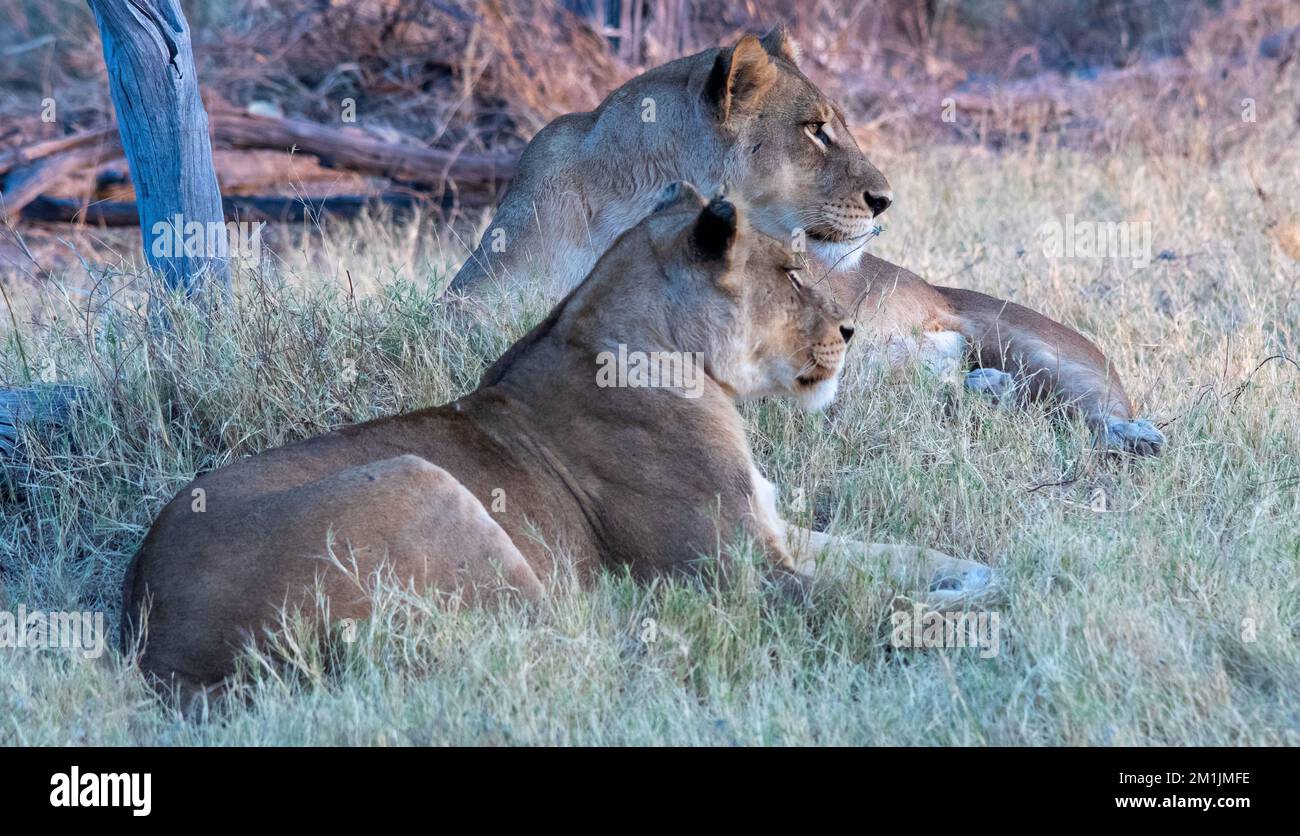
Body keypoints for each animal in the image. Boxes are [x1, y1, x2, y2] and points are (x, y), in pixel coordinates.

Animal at [122, 185, 998, 702]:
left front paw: (977, 573)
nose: (850, 331)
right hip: (423, 483)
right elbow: (859, 595)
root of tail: (146, 636)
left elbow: (890, 553)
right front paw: (969, 615)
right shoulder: (738, 571)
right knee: (571, 643)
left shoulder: (771, 534)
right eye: (789, 273)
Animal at [448, 28, 1164, 455]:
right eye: (815, 129)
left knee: (1083, 403)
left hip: (1029, 339)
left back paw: (1130, 433)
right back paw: (985, 391)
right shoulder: (475, 305)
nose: (886, 200)